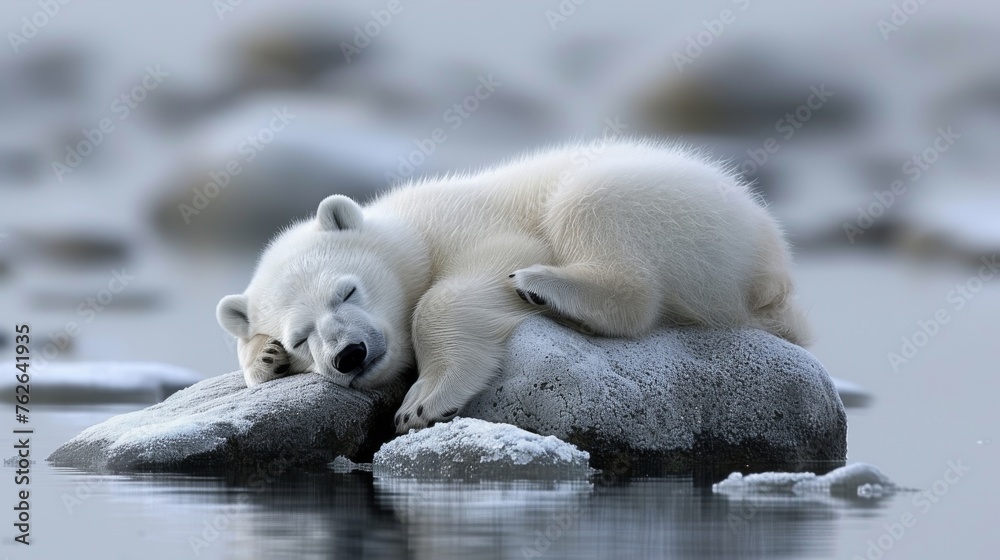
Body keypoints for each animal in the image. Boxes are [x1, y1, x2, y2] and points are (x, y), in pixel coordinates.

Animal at [217, 139, 810, 433]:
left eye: (347, 290)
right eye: (300, 337)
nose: (349, 354)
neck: (414, 227)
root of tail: (773, 271)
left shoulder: (470, 223)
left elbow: (467, 282)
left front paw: (423, 400)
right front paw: (261, 357)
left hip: (679, 210)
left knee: (594, 203)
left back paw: (547, 288)